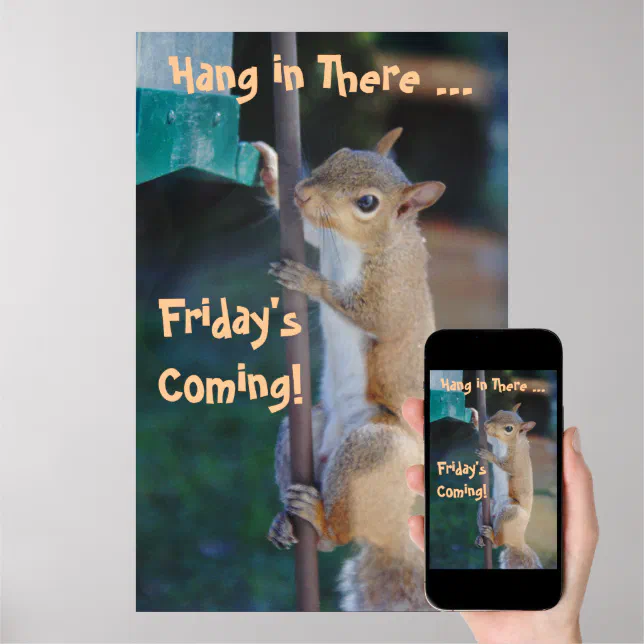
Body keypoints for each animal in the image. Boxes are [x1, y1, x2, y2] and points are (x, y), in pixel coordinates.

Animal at [253, 129, 445, 610]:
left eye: (367, 203)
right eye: (339, 154)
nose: (302, 193)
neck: (358, 244)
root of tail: (396, 527)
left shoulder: (393, 291)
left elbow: (369, 313)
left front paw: (309, 282)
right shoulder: (322, 233)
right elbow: (308, 228)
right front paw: (272, 169)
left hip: (376, 448)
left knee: (338, 536)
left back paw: (319, 521)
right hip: (309, 428)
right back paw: (287, 520)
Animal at [474, 403, 543, 569]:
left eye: (509, 429)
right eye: (499, 411)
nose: (486, 425)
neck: (506, 443)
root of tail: (518, 541)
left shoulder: (516, 463)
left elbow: (505, 465)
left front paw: (489, 456)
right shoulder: (494, 441)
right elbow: (488, 438)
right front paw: (475, 416)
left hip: (510, 513)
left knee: (498, 542)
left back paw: (491, 536)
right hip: (489, 506)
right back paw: (480, 537)